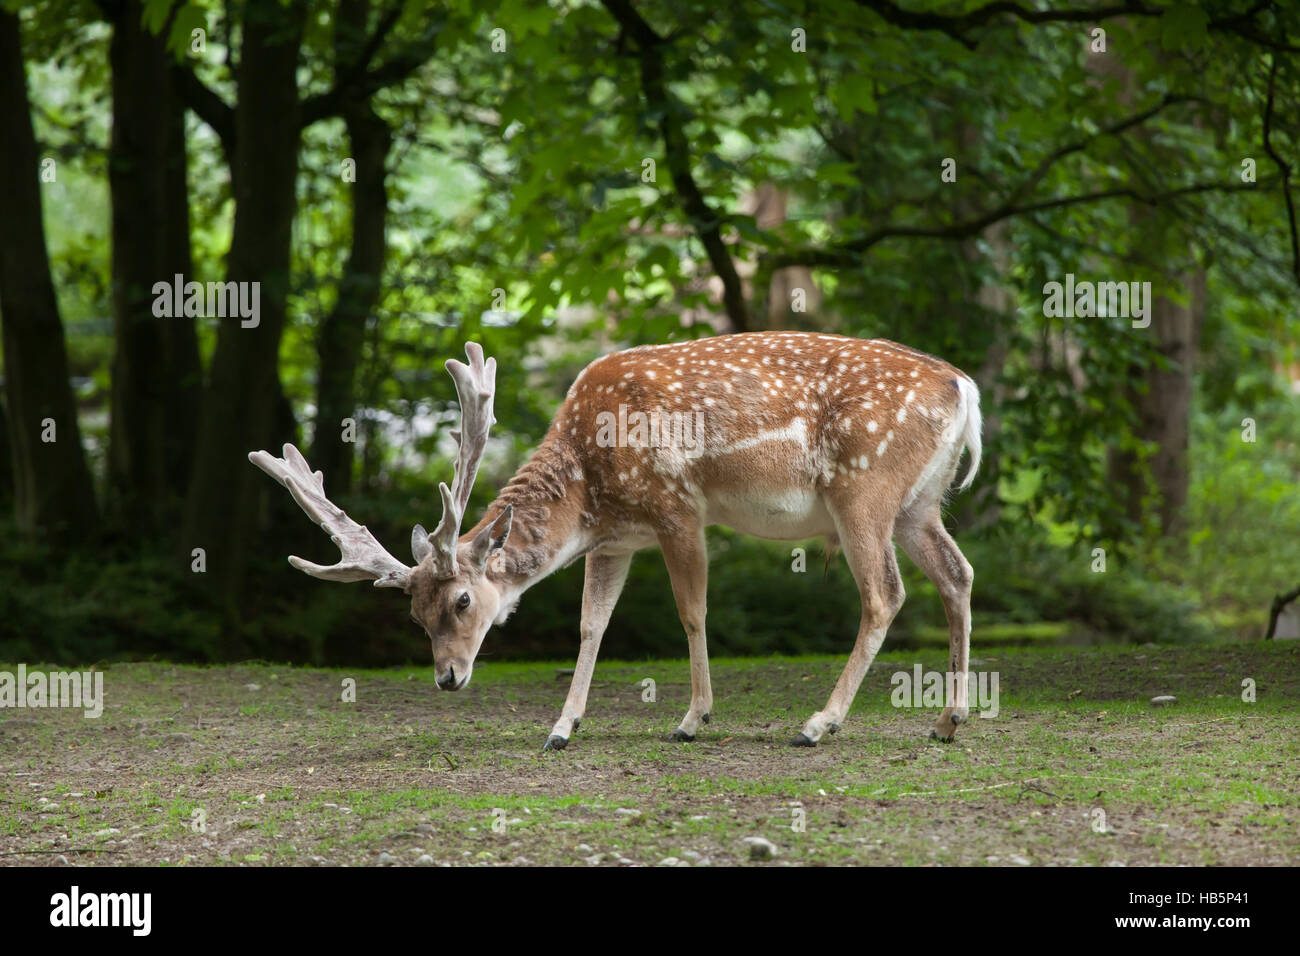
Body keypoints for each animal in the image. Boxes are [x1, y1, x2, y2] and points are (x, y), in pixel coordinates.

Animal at [248, 332, 977, 749]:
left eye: (461, 601)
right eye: (414, 615)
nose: (447, 677)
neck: (588, 490)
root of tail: (965, 389)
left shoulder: (678, 507)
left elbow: (692, 613)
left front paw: (692, 719)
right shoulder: (615, 540)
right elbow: (591, 624)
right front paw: (561, 728)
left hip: (864, 487)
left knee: (885, 594)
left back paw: (818, 724)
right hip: (916, 505)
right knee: (958, 575)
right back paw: (947, 721)